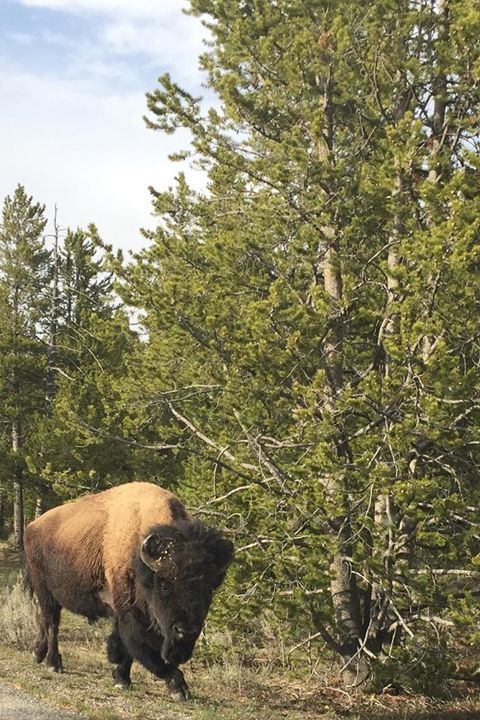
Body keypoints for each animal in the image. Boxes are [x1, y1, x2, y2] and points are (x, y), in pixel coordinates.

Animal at [24, 482, 234, 701]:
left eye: (209, 589)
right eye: (164, 584)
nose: (185, 632)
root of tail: (32, 526)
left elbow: (127, 648)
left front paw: (121, 678)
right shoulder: (129, 613)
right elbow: (138, 645)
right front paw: (179, 688)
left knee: (44, 620)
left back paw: (37, 654)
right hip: (45, 591)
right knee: (51, 624)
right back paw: (53, 664)